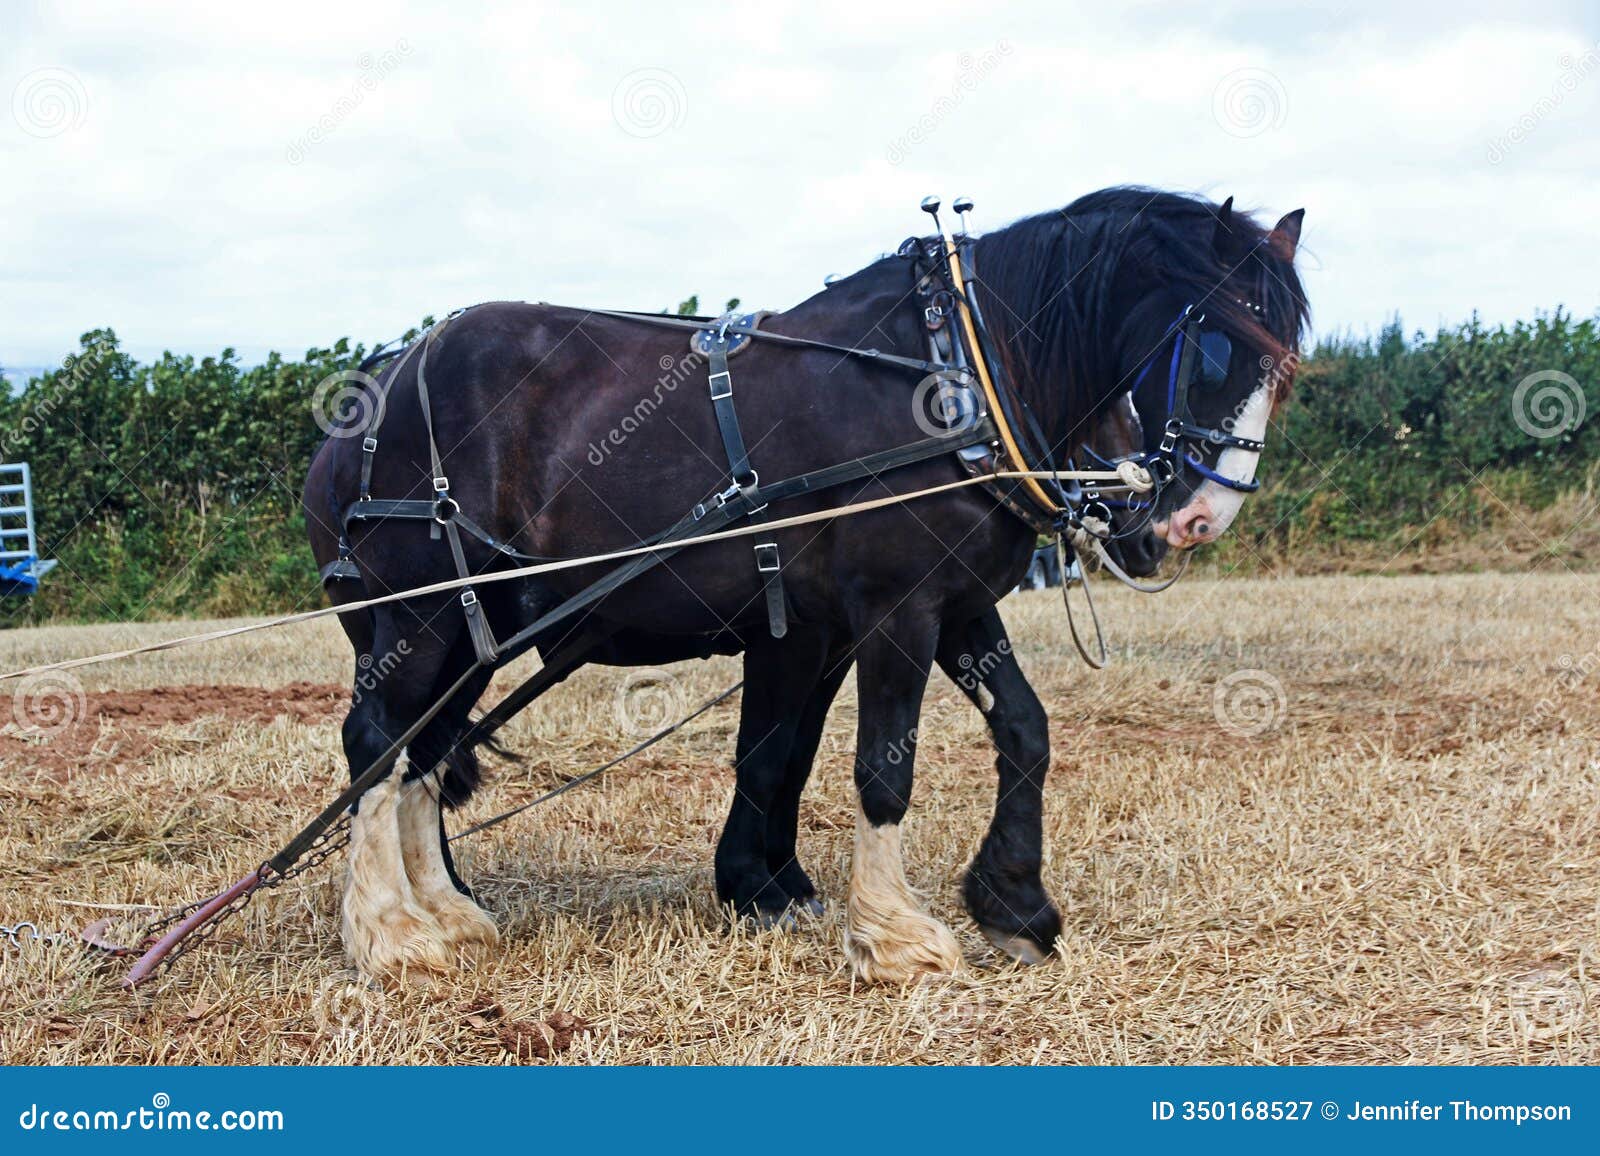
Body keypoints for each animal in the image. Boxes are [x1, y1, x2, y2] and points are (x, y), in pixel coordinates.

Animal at [303, 186, 1308, 983]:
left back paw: (447, 913)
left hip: (471, 631)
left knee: (424, 752)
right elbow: (879, 768)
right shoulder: (893, 610)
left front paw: (1014, 902)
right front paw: (894, 936)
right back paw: (392, 934)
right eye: (1215, 345)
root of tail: (374, 390)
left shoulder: (948, 604)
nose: (1195, 518)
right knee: (376, 744)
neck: (952, 374)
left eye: (1287, 367)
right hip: (420, 616)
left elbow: (1016, 729)